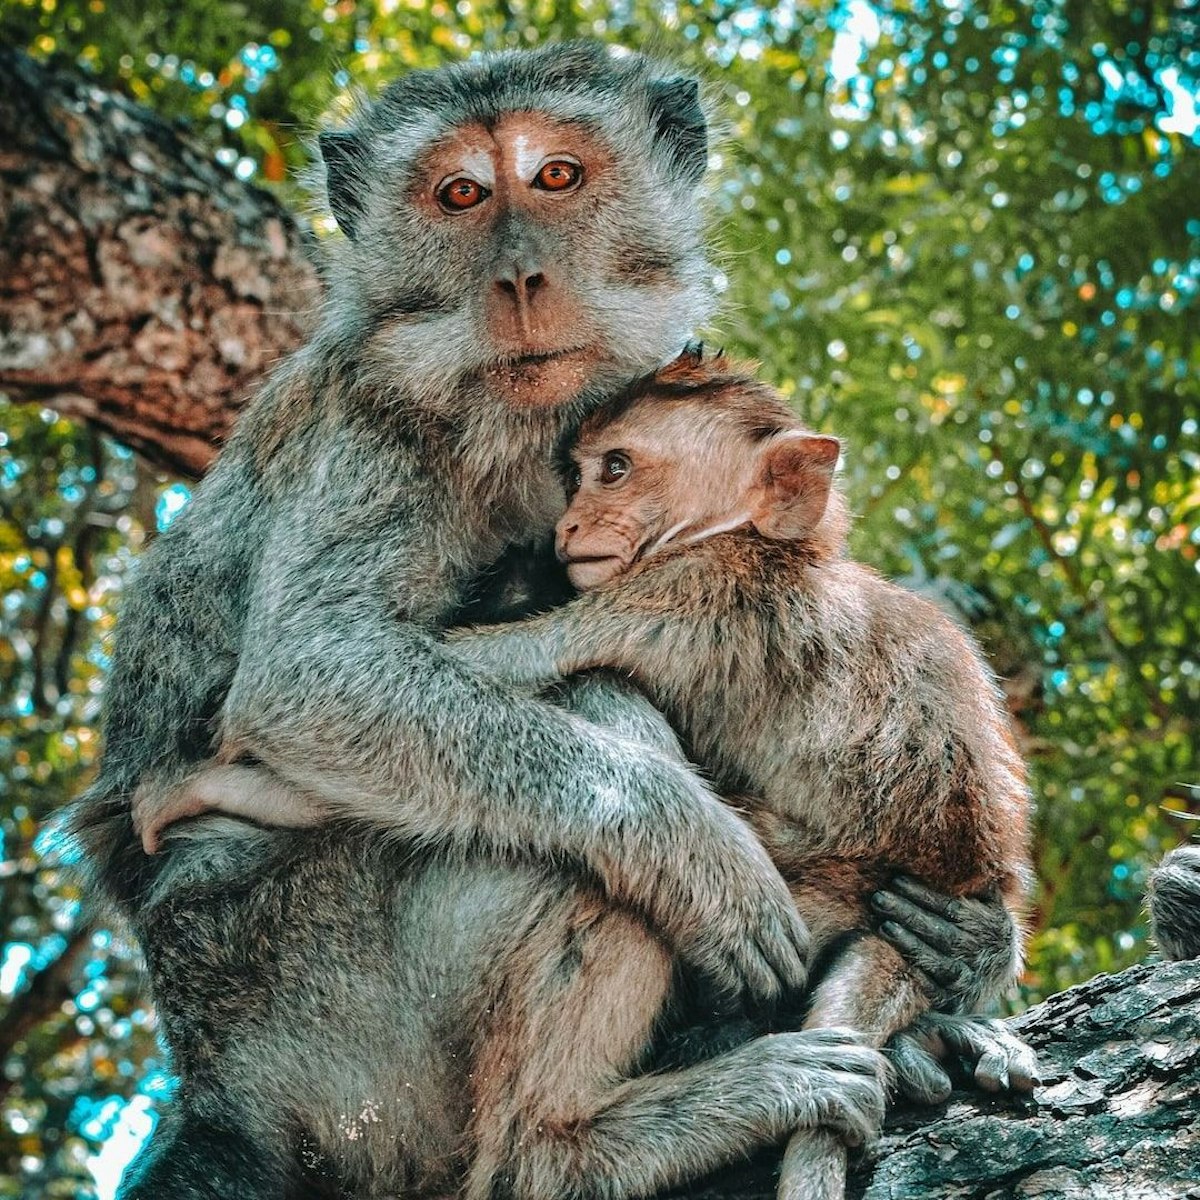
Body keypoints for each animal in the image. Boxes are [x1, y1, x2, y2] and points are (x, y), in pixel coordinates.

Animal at [63, 43, 1033, 1199]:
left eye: (557, 177)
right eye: (461, 195)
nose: (520, 278)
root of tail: (219, 1086)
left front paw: (972, 946)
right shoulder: (374, 426)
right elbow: (310, 676)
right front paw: (691, 849)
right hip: (325, 1018)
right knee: (583, 769)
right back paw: (587, 1138)